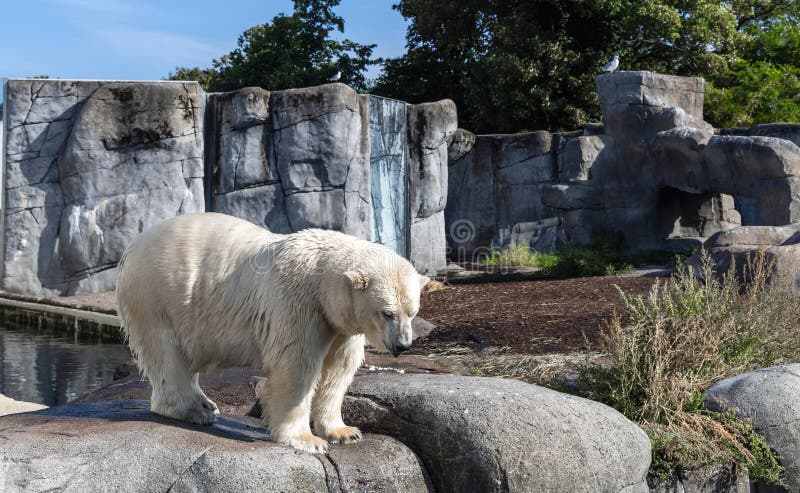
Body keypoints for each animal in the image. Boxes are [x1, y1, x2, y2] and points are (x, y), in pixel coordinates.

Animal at [116, 212, 430, 453]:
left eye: (413, 312)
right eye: (387, 313)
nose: (403, 346)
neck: (319, 279)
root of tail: (131, 248)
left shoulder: (339, 323)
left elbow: (339, 369)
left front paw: (344, 432)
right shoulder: (297, 304)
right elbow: (296, 367)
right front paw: (307, 440)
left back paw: (206, 403)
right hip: (156, 294)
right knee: (165, 353)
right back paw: (193, 410)